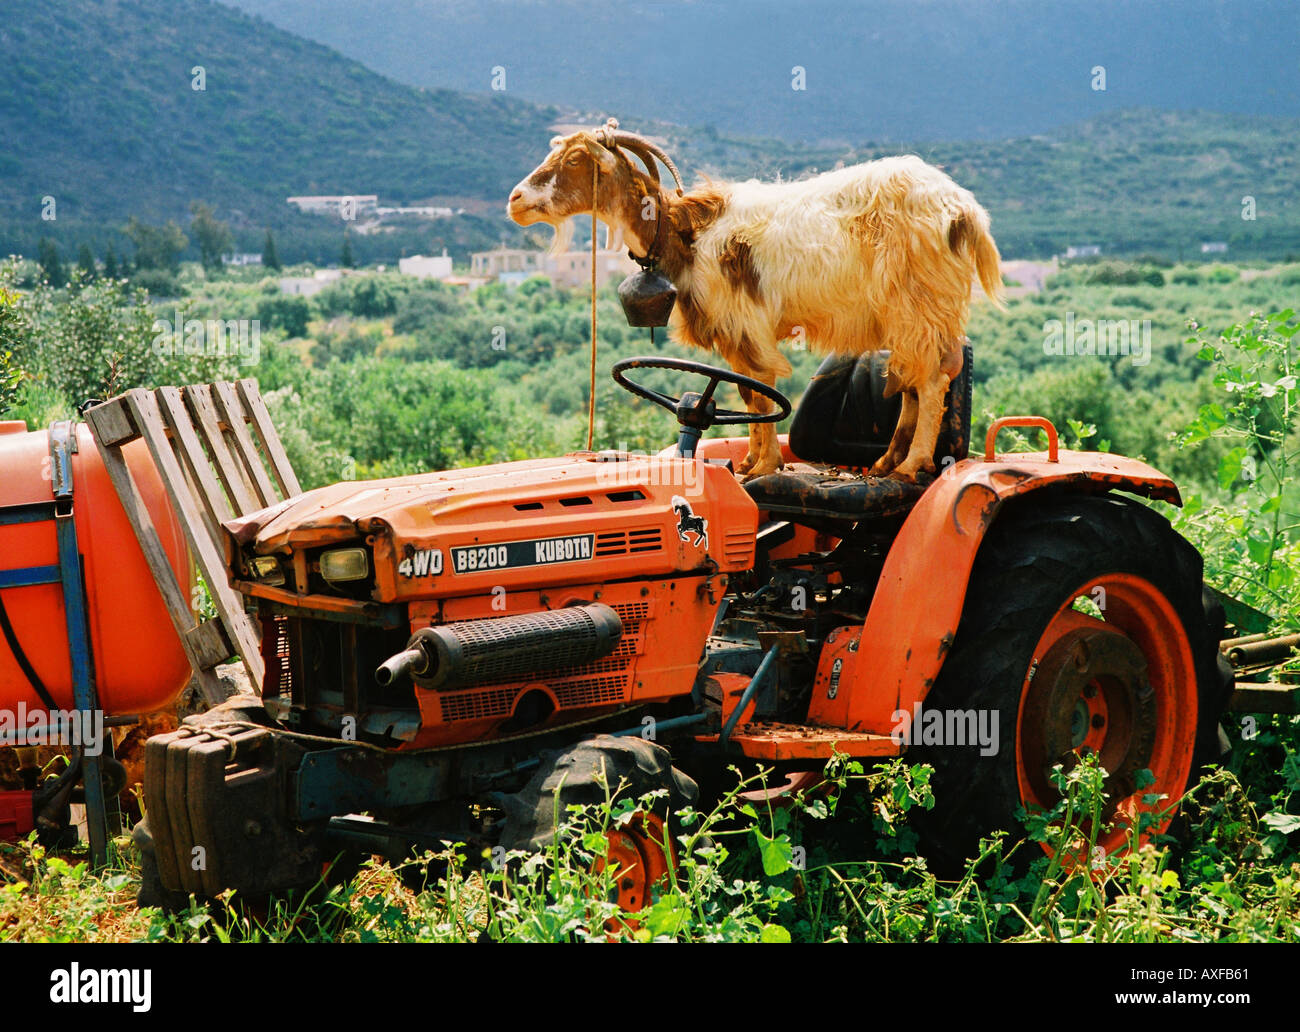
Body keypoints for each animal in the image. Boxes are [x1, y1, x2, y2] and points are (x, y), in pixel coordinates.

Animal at [508, 123, 1003, 480]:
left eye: (575, 159)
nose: (515, 199)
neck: (687, 231)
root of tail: (965, 210)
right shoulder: (731, 331)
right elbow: (747, 392)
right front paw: (750, 462)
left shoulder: (744, 321)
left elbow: (758, 390)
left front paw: (763, 467)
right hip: (911, 311)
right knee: (913, 379)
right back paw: (886, 463)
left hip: (919, 301)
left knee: (932, 379)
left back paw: (910, 466)